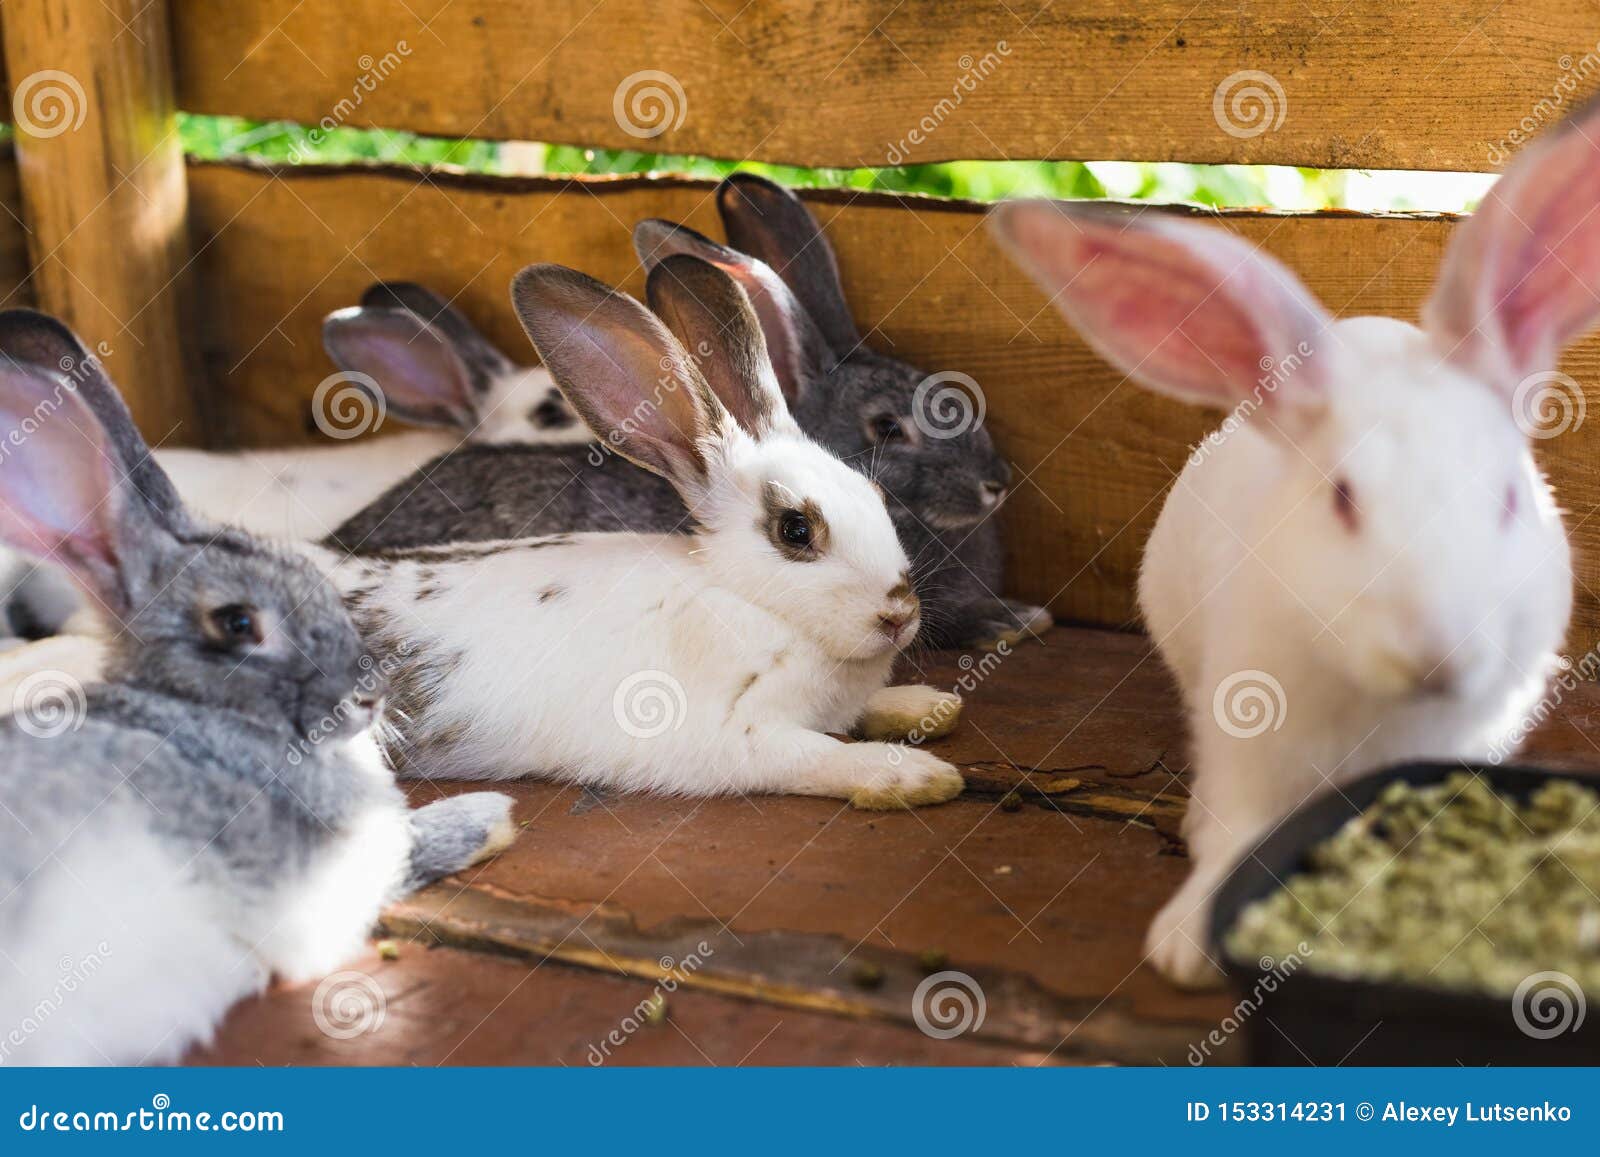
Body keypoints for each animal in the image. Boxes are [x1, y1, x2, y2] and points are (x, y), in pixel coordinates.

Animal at [313, 256, 965, 810]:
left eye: (874, 494)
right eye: (796, 529)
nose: (900, 614)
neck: (749, 602)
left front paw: (929, 705)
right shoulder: (736, 737)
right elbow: (819, 756)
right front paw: (915, 776)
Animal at [989, 98, 1600, 988]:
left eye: (1511, 497)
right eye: (1343, 498)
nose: (1437, 654)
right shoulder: (1244, 744)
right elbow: (1234, 832)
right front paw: (1184, 945)